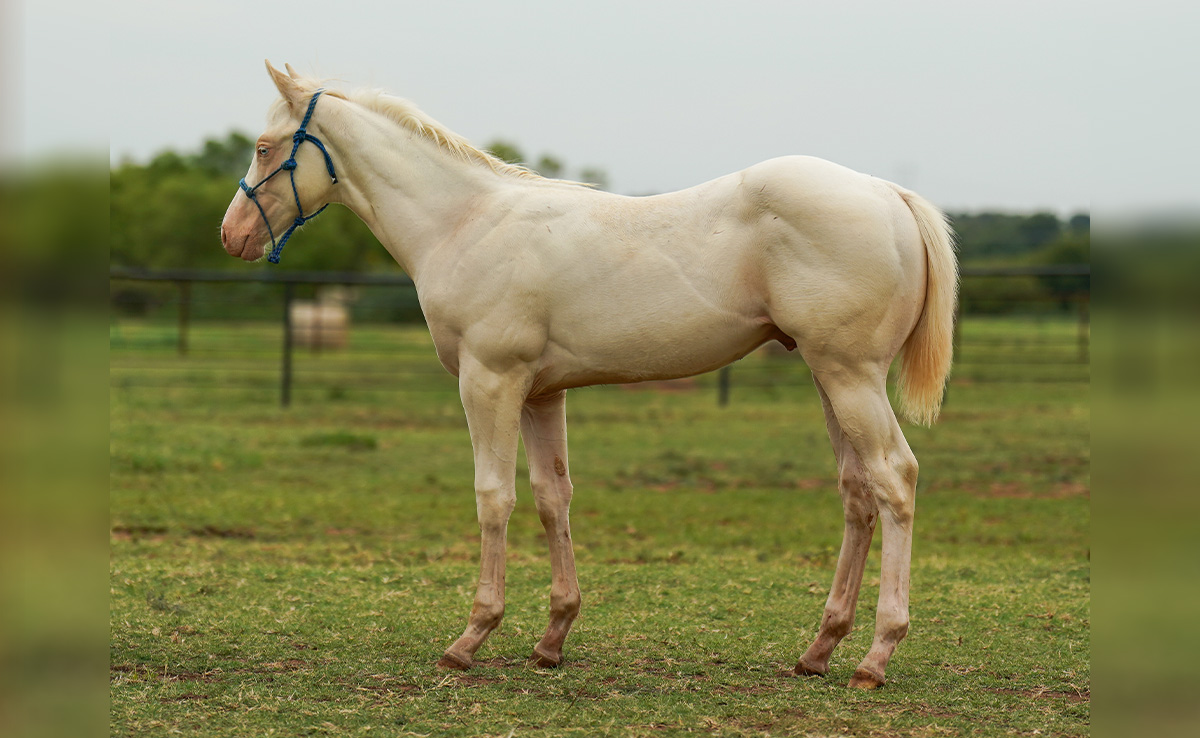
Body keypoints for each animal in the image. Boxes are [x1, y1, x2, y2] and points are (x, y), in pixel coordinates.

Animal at [221, 62, 957, 689]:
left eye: (263, 147)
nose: (232, 236)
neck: (465, 222)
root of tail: (888, 193)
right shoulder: (541, 394)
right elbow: (554, 498)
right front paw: (552, 639)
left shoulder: (489, 382)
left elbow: (494, 497)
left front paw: (471, 638)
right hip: (829, 379)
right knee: (857, 493)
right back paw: (819, 650)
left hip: (850, 377)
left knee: (895, 479)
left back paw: (875, 656)